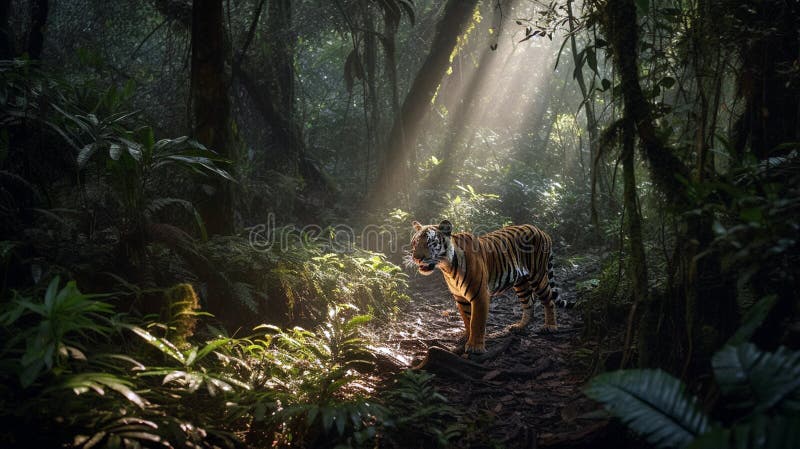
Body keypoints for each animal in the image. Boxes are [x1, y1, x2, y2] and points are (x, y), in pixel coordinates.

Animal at [407, 220, 558, 354]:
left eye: (430, 242)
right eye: (415, 243)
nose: (416, 258)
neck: (447, 268)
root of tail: (540, 230)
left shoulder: (479, 294)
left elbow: (476, 321)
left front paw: (475, 347)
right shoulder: (460, 297)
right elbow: (467, 319)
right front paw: (467, 337)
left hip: (538, 276)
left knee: (549, 300)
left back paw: (550, 326)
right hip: (521, 283)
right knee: (529, 304)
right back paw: (519, 326)